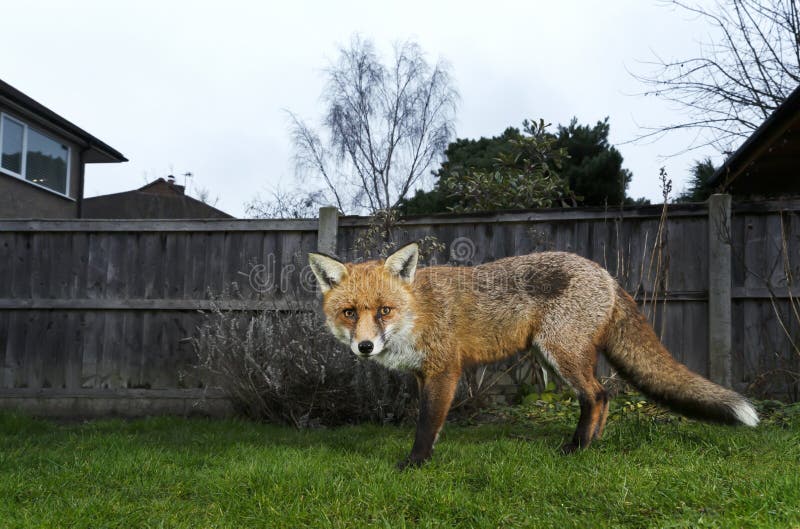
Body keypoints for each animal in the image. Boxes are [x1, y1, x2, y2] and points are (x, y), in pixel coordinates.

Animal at [308, 243, 759, 469]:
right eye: (350, 313)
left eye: (384, 310)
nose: (365, 347)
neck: (417, 312)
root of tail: (607, 274)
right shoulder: (424, 375)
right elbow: (431, 425)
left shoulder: (444, 371)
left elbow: (425, 426)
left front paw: (415, 465)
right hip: (551, 356)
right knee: (603, 397)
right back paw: (592, 446)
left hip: (559, 353)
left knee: (597, 395)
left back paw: (576, 449)